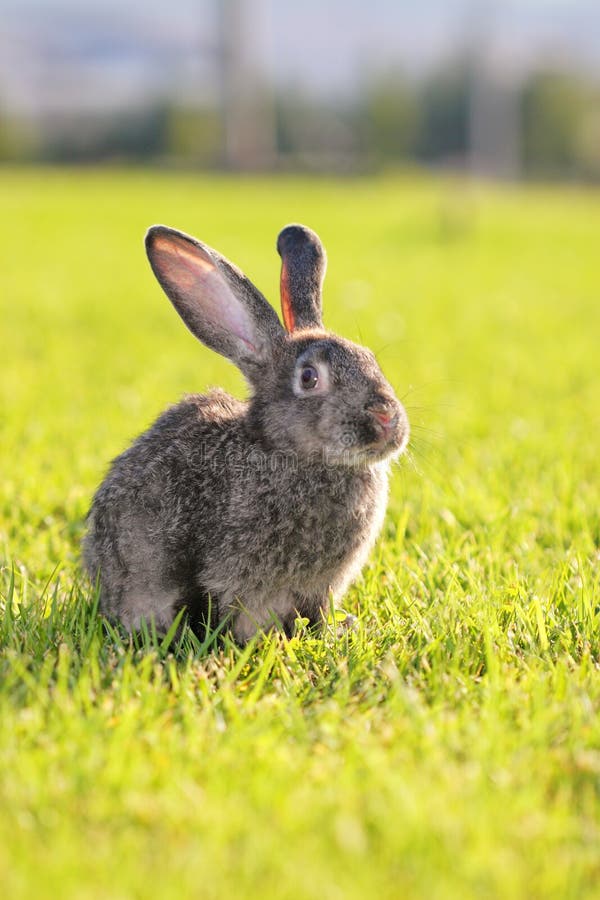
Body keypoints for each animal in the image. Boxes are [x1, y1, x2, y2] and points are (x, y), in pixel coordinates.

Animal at [83, 223, 409, 643]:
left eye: (370, 359)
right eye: (309, 377)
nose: (386, 418)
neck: (291, 453)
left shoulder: (320, 589)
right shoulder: (232, 578)